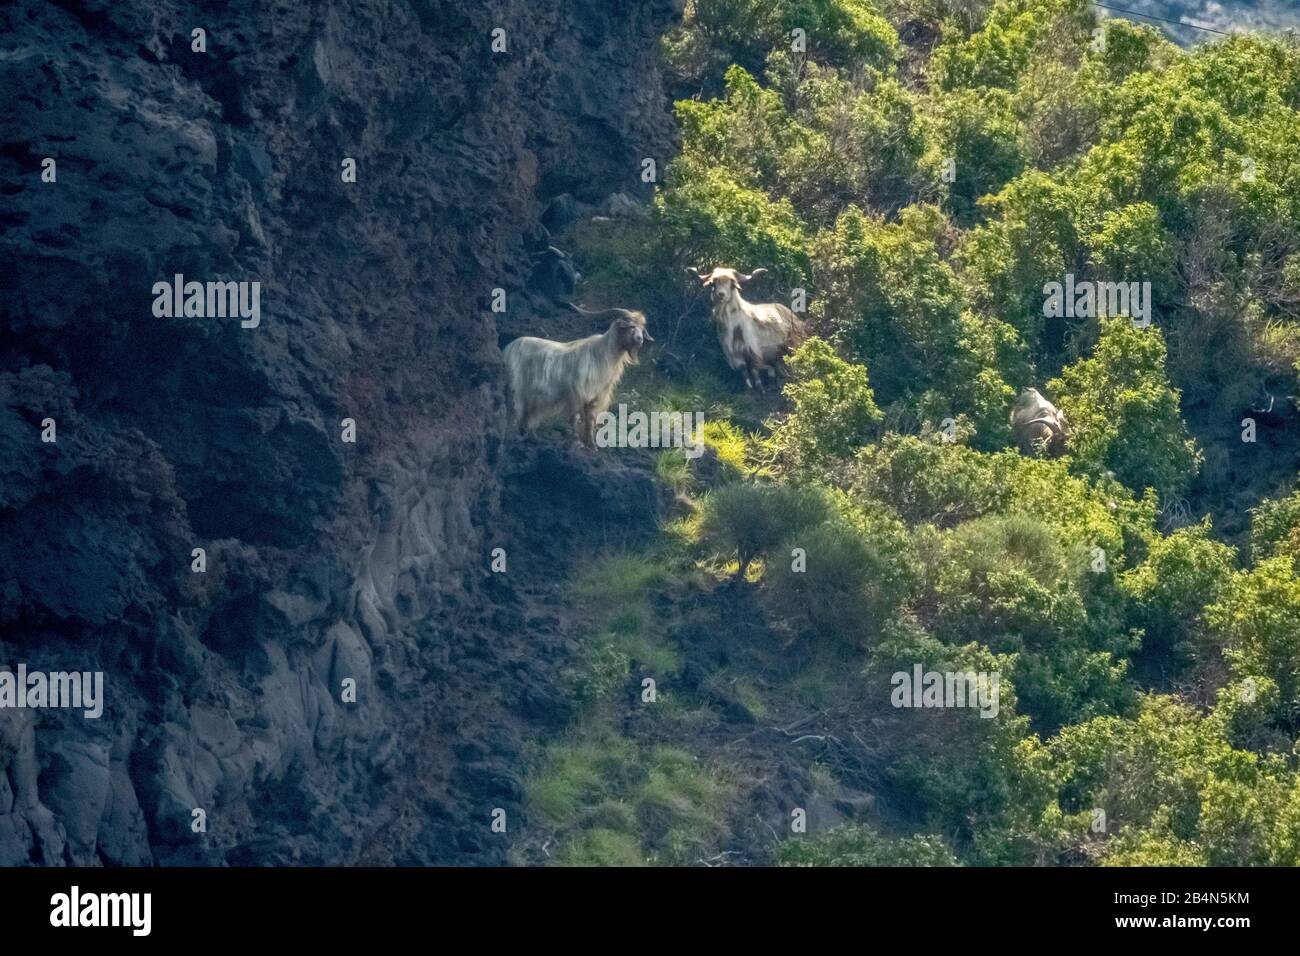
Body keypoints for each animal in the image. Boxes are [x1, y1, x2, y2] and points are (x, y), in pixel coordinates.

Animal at [502, 304, 652, 447]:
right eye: (631, 326)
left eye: (641, 328)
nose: (640, 340)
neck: (603, 354)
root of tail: (509, 348)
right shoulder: (575, 393)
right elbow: (575, 417)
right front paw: (576, 441)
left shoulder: (596, 397)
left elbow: (590, 419)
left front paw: (592, 445)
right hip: (516, 387)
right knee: (514, 412)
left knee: (527, 416)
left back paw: (531, 438)